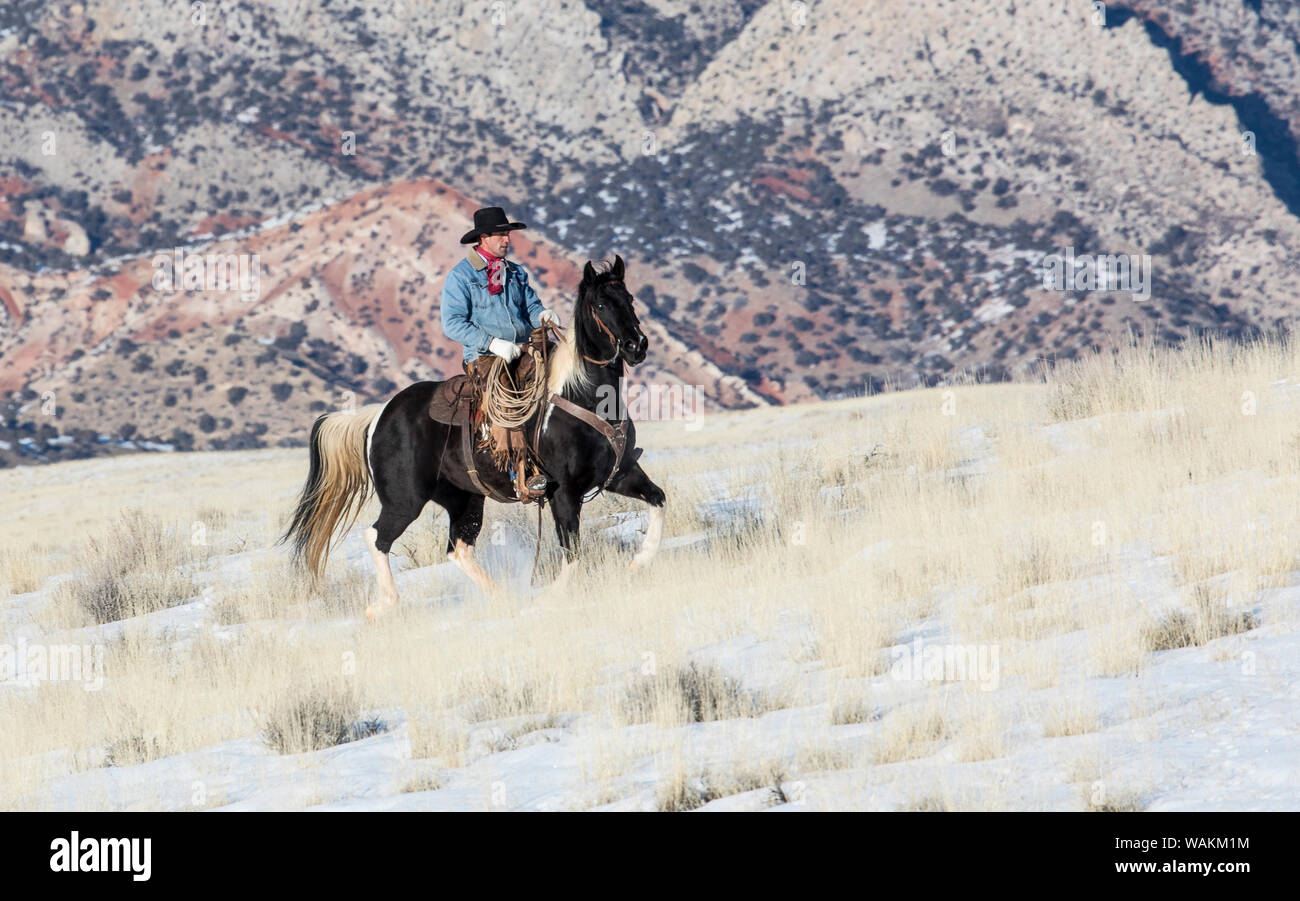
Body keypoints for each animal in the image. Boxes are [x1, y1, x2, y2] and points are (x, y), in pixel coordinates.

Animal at [281, 255, 667, 619]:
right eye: (600, 305)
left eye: (629, 298)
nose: (637, 346)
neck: (583, 396)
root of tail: (379, 414)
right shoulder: (564, 491)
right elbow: (571, 550)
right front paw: (554, 597)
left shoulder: (619, 473)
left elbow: (657, 499)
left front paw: (640, 561)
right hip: (406, 500)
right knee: (377, 537)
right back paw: (383, 606)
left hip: (464, 498)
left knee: (458, 548)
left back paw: (502, 597)